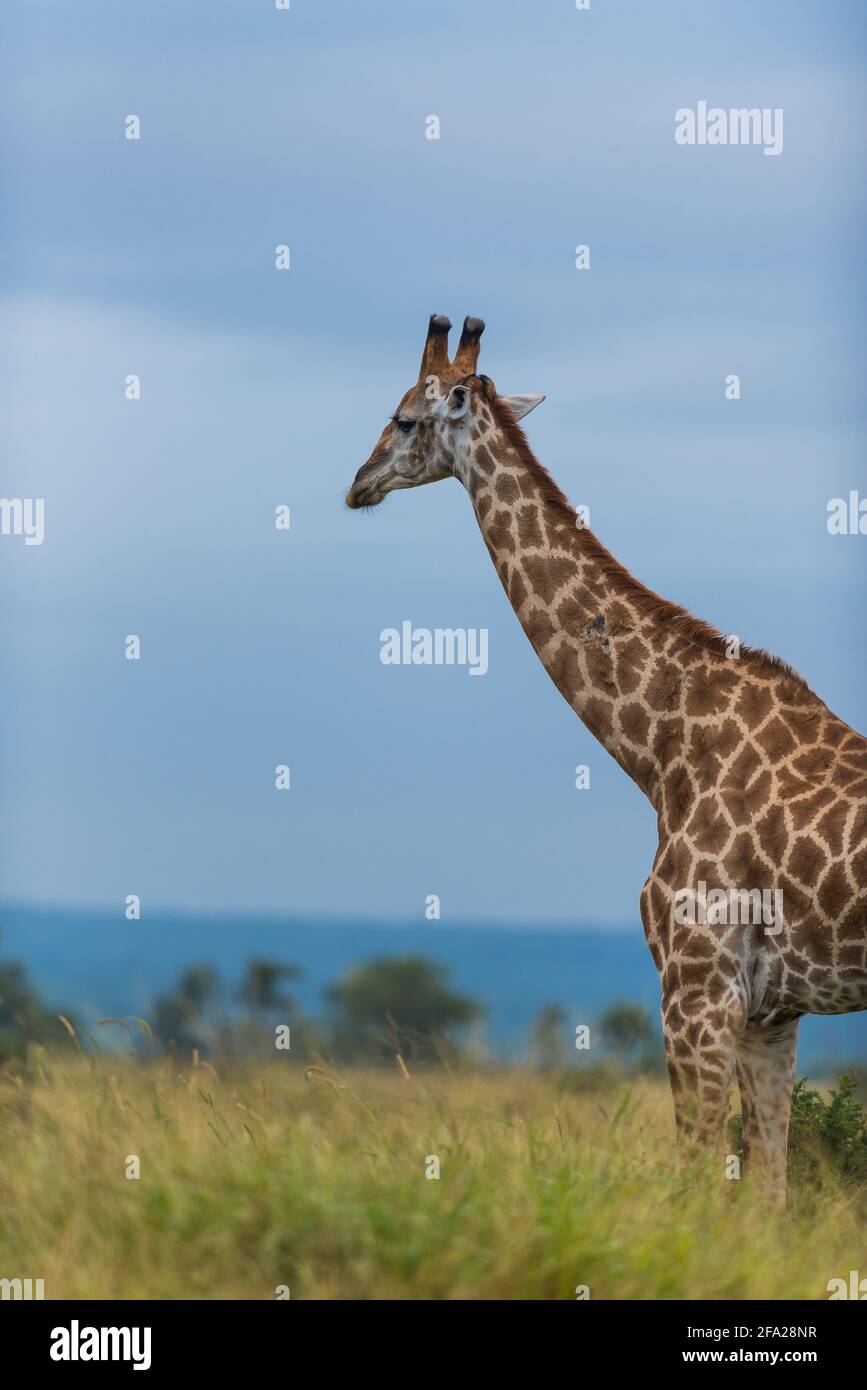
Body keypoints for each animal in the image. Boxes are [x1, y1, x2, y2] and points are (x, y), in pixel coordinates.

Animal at [346, 314, 867, 1197]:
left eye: (405, 418)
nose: (357, 483)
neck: (659, 748)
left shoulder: (696, 988)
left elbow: (699, 1179)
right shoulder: (771, 1011)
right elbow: (766, 1187)